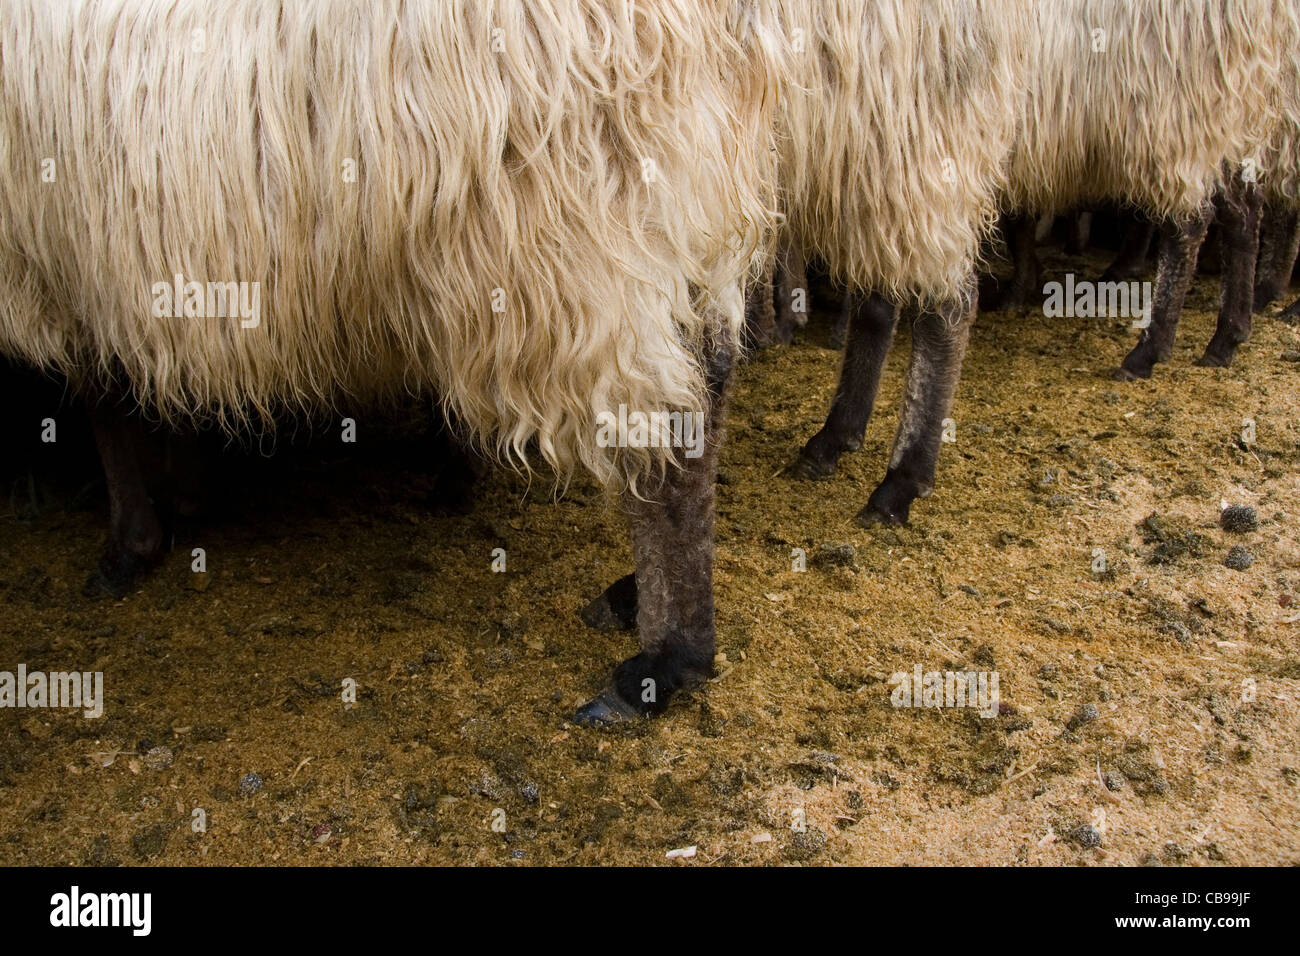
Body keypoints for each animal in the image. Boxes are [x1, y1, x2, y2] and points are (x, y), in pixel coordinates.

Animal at [0, 0, 779, 723]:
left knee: (668, 429)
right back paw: (645, 611)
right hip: (680, 204)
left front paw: (130, 546)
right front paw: (188, 501)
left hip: (581, 227)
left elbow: (104, 404)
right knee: (702, 385)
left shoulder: (62, 263)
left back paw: (664, 663)